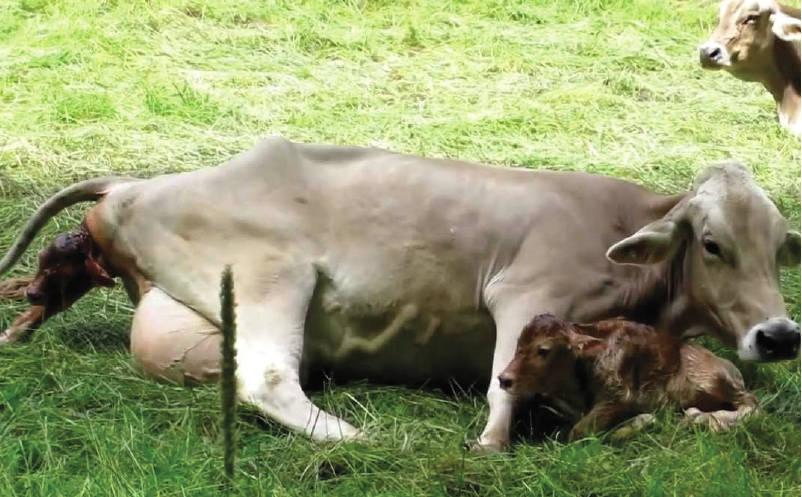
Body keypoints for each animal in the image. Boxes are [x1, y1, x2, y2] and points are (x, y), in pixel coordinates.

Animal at [498, 314, 760, 442]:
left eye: (543, 350)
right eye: (518, 345)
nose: (503, 378)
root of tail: (733, 369)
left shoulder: (619, 394)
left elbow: (579, 433)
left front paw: (640, 423)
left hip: (709, 380)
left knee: (753, 405)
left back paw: (704, 419)